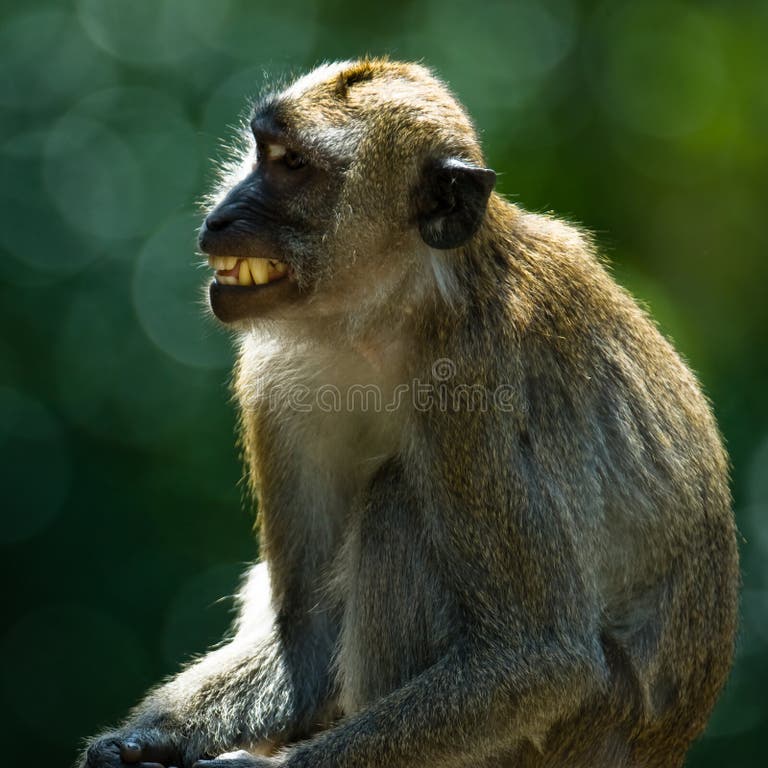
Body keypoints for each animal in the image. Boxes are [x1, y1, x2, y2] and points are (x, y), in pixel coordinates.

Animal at [80, 58, 739, 768]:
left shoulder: (474, 387)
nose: (221, 214)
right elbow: (309, 641)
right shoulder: (272, 379)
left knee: (400, 501)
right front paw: (138, 740)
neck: (391, 315)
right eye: (261, 151)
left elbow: (541, 657)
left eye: (292, 165)